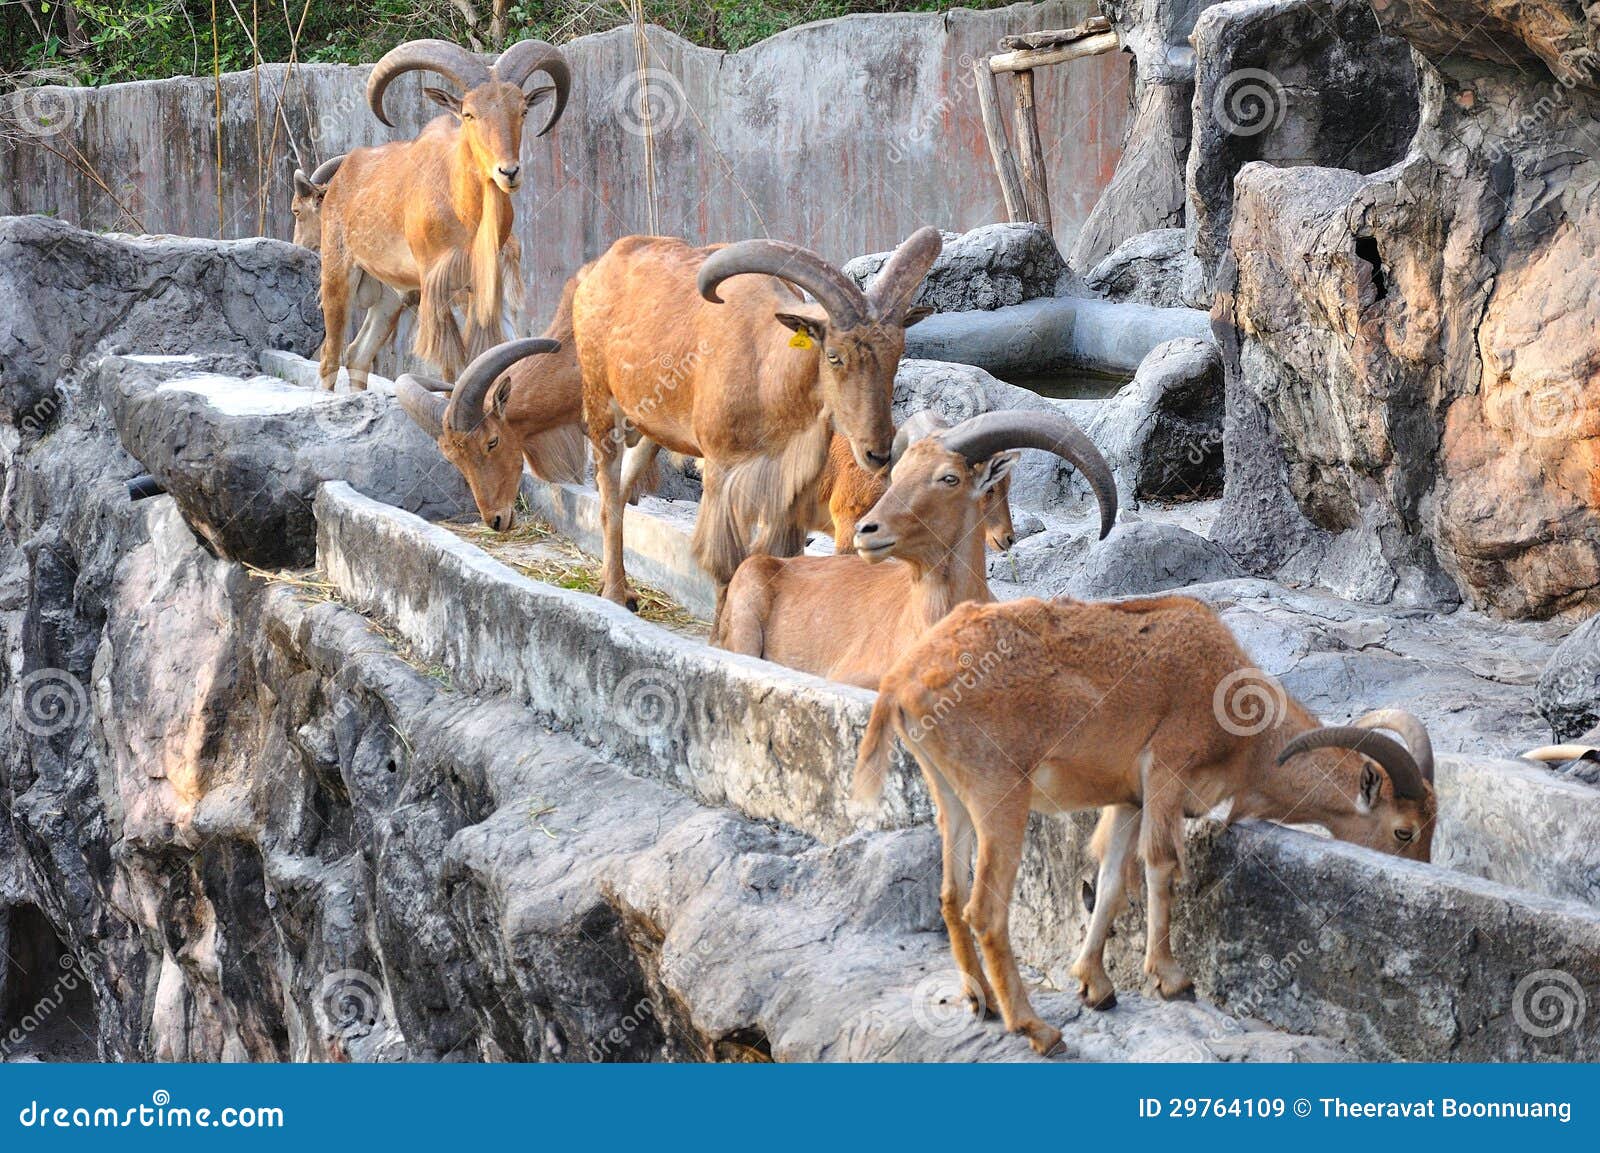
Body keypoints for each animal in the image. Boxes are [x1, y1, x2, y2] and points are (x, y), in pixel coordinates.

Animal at [316, 38, 568, 390]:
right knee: (331, 355)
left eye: (523, 110)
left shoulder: (484, 285)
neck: (465, 212)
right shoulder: (437, 283)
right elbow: (452, 365)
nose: (509, 172)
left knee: (358, 354)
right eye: (468, 113)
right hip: (338, 272)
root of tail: (343, 175)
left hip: (391, 295)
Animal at [573, 229, 942, 622]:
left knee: (625, 487)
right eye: (833, 356)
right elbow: (727, 565)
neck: (767, 368)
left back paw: (616, 584)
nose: (878, 453)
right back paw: (614, 593)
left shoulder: (786, 484)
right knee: (608, 495)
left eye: (896, 354)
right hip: (601, 403)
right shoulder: (723, 473)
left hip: (650, 428)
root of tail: (593, 271)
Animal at [854, 595, 1437, 1055]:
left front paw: (1096, 985)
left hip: (950, 795)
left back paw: (982, 1001)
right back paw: (1035, 1028)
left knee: (951, 895)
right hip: (1000, 797)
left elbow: (1112, 882)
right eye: (1404, 830)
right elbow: (1161, 866)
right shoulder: (1165, 773)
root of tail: (901, 680)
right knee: (985, 911)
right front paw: (1172, 978)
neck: (1245, 729)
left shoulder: (1129, 801)